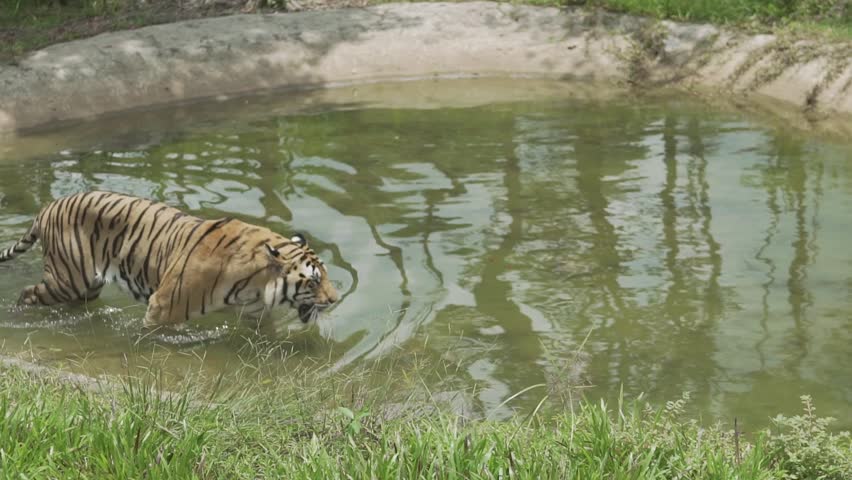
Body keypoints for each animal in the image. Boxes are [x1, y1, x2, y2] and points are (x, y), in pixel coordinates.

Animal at [0, 191, 338, 328]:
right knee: (27, 293)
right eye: (313, 281)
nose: (336, 299)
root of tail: (47, 207)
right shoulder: (163, 306)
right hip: (68, 279)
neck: (257, 284)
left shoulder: (255, 314)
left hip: (86, 286)